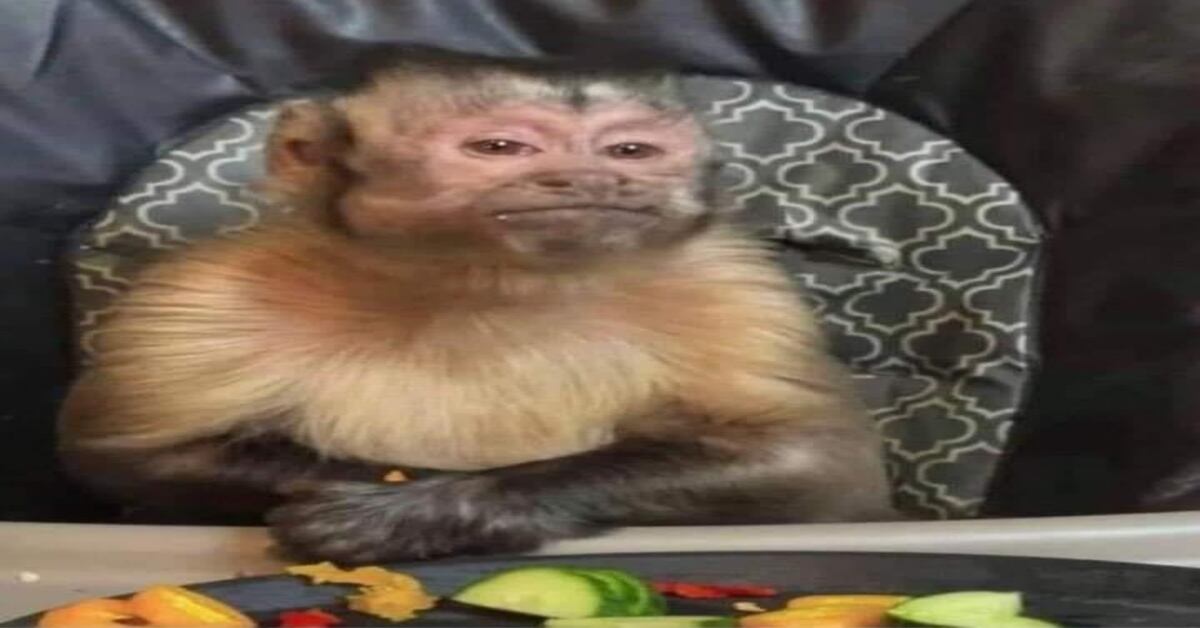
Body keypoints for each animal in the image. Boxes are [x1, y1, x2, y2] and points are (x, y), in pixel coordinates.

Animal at [57, 52, 895, 563]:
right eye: (499, 148)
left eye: (630, 152)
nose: (593, 180)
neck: (483, 287)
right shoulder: (204, 297)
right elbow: (123, 454)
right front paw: (389, 486)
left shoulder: (735, 295)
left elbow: (820, 469)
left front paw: (426, 509)